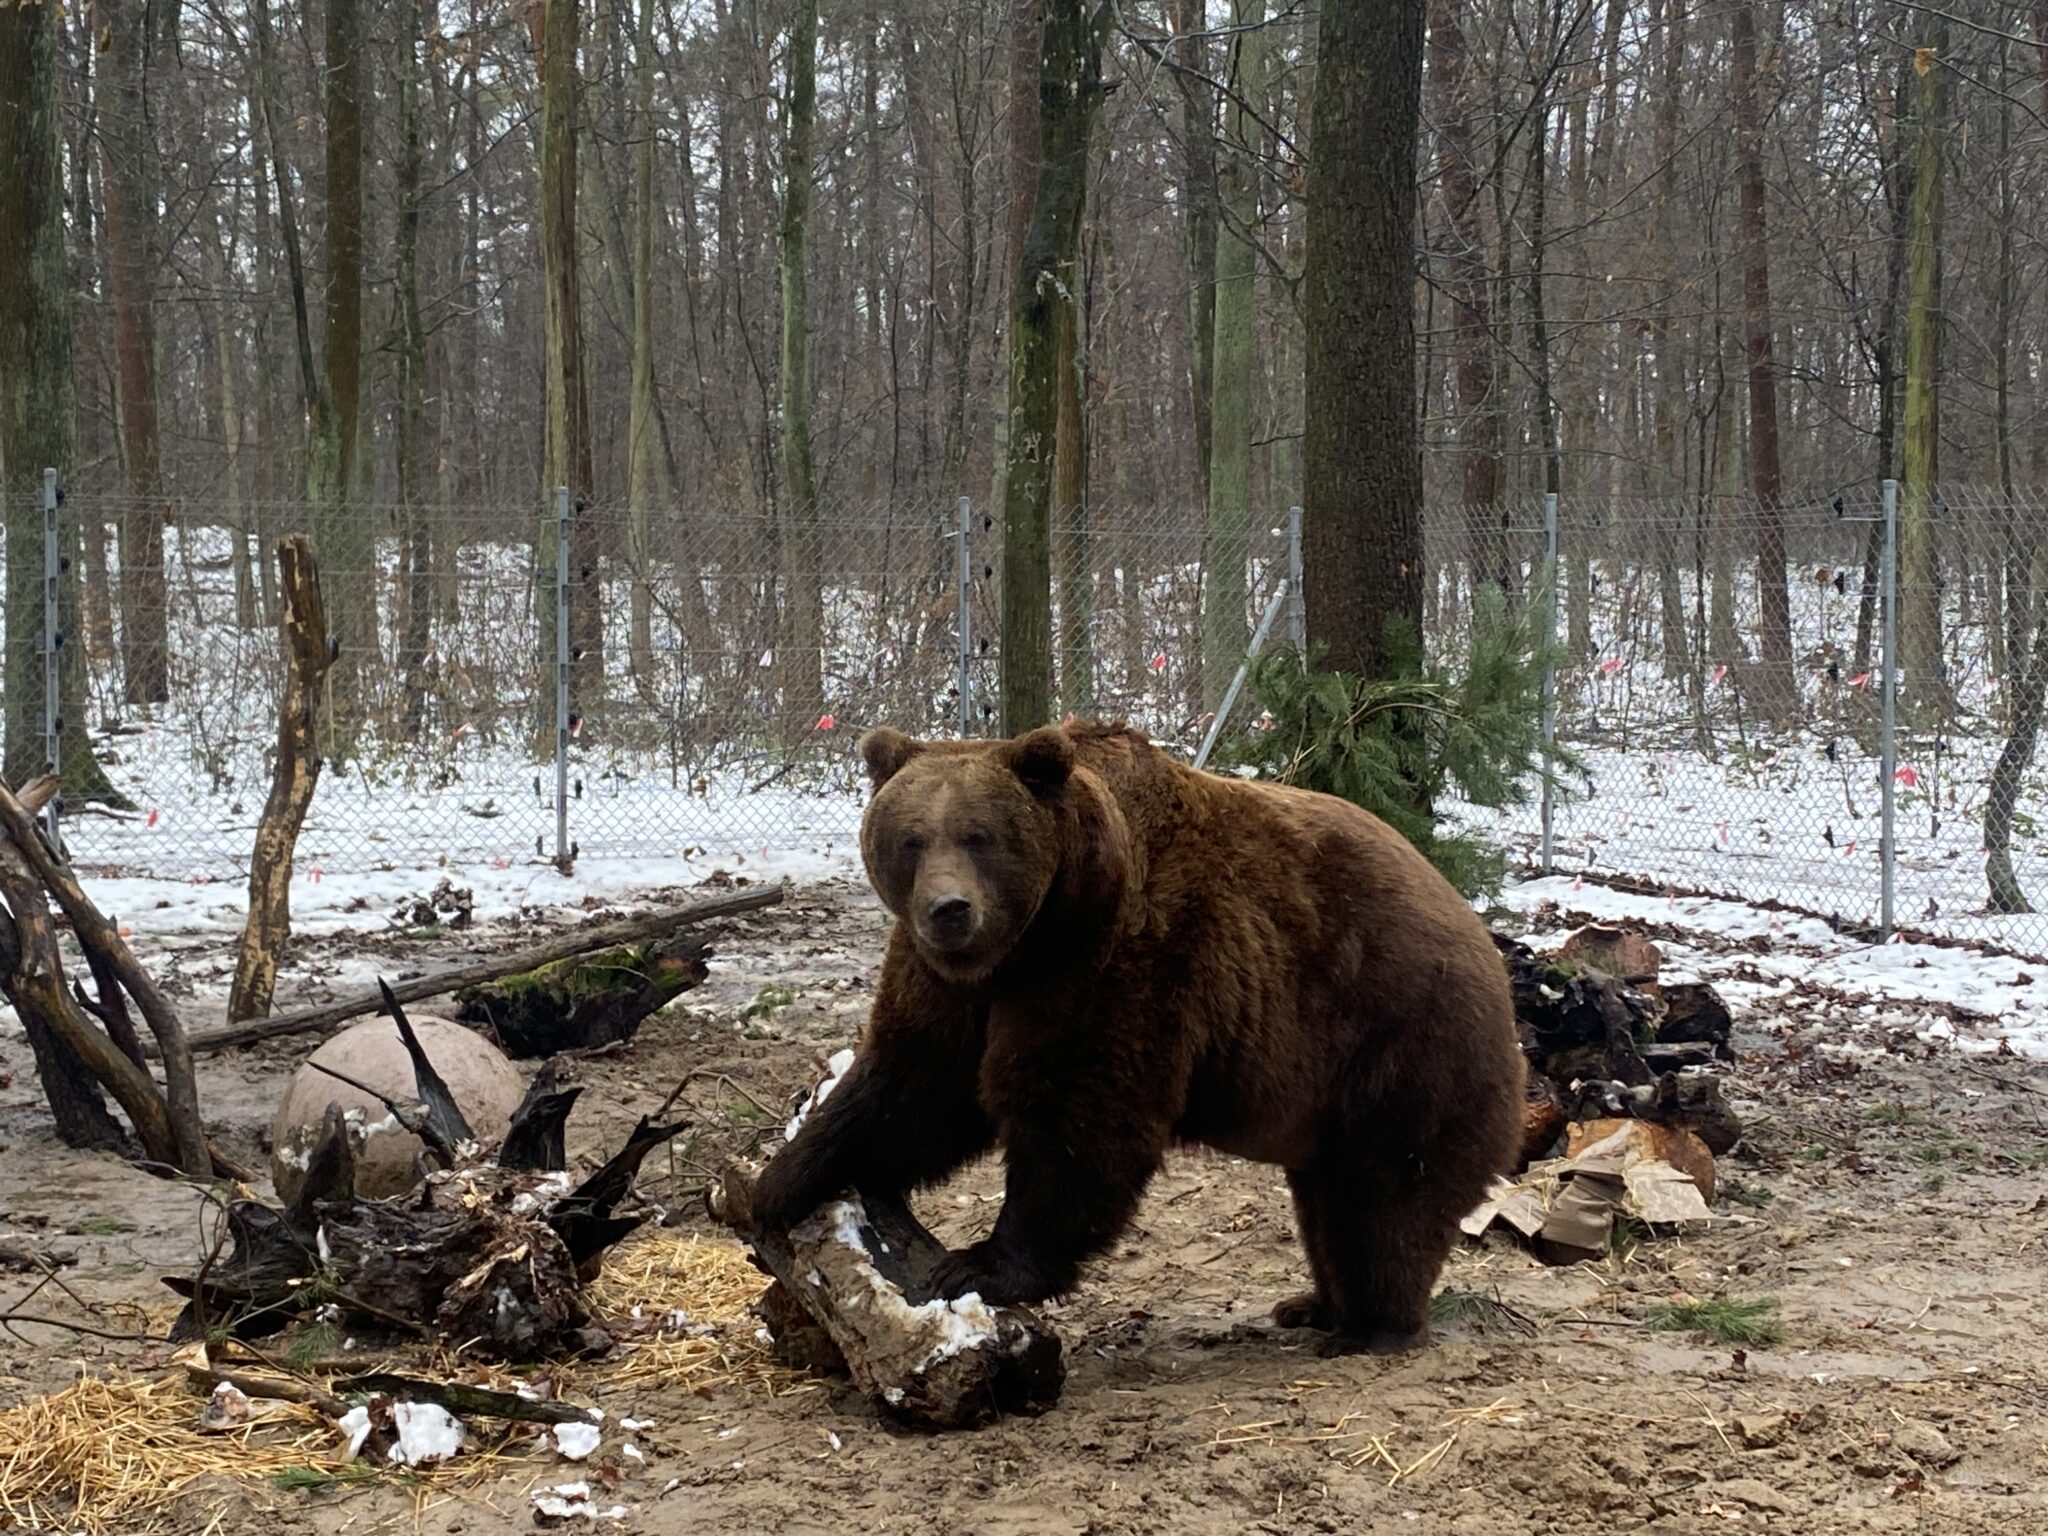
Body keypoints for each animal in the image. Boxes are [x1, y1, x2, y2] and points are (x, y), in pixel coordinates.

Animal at [750, 720, 1524, 1355]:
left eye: (979, 836)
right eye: (910, 838)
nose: (950, 909)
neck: (1034, 935)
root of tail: (1481, 935)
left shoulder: (1118, 962)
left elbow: (1077, 1117)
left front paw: (980, 1263)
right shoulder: (948, 983)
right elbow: (912, 1084)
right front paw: (775, 1186)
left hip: (1398, 1040)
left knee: (1386, 1195)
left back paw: (1369, 1325)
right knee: (1326, 1197)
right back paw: (1312, 1305)